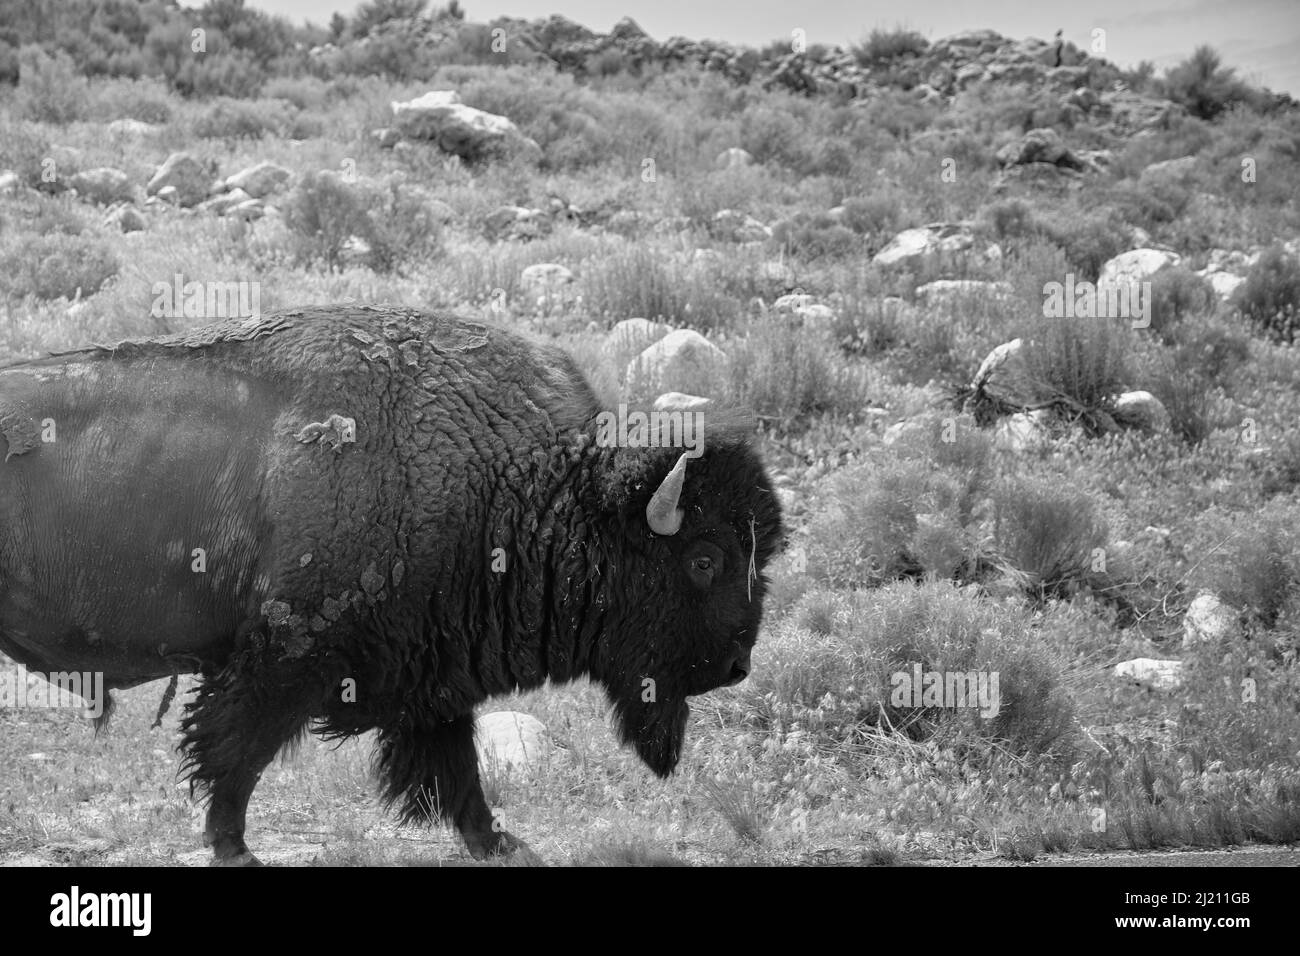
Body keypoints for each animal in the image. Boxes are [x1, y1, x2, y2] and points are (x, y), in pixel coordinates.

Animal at [0, 305, 784, 864]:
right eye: (705, 559)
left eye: (764, 556)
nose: (735, 666)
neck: (527, 484)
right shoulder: (285, 656)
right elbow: (233, 750)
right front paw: (234, 847)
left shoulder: (433, 673)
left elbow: (455, 765)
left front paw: (499, 841)